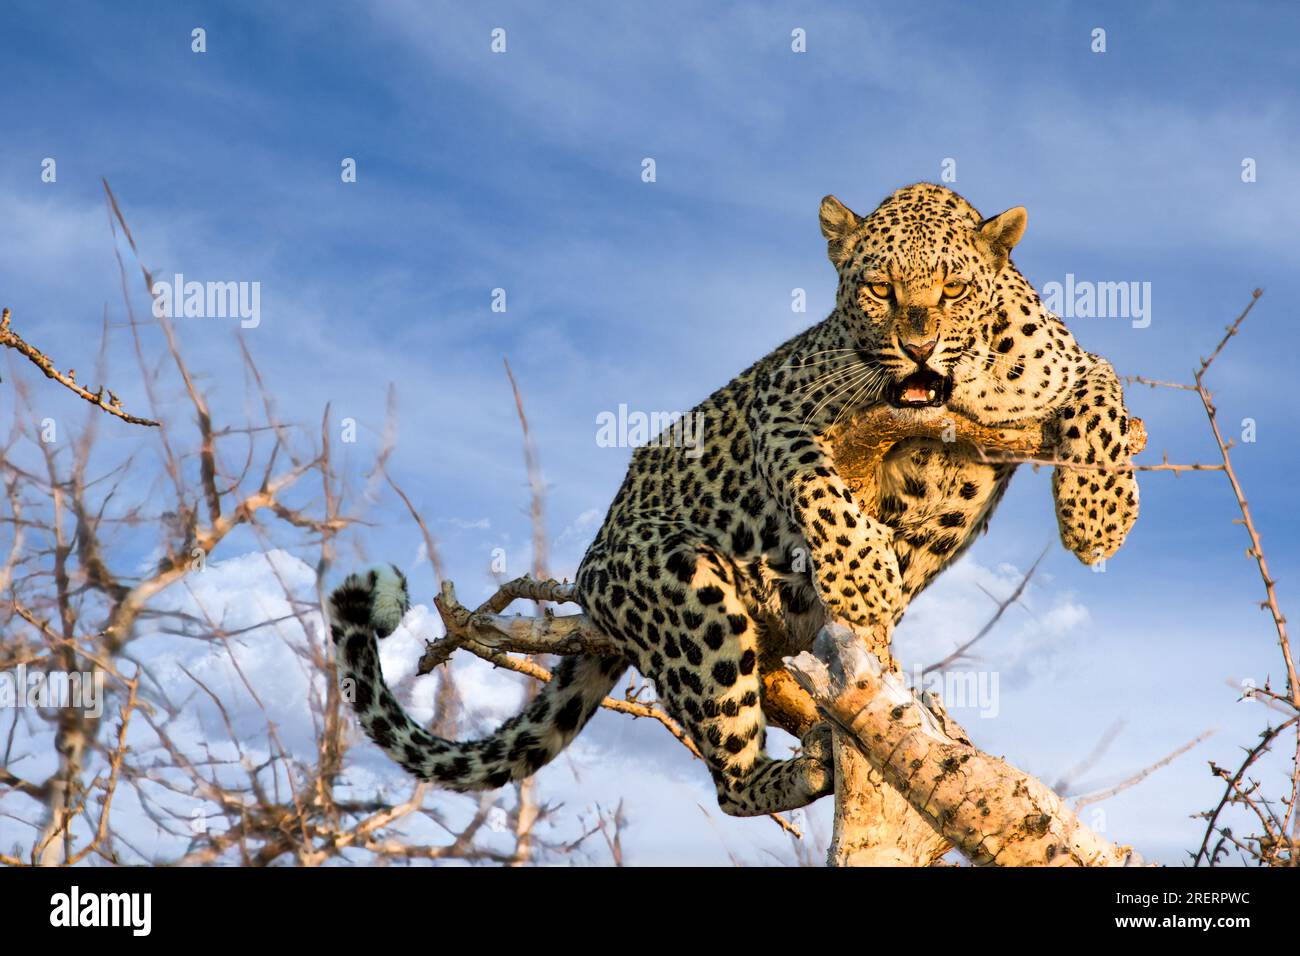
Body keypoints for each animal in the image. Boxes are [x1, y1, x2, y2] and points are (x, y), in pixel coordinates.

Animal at [328, 182, 1139, 817]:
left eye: (953, 289)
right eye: (880, 290)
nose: (917, 345)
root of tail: (592, 573)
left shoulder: (1071, 365)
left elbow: (1106, 399)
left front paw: (1099, 517)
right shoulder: (777, 404)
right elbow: (812, 479)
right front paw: (862, 576)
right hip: (690, 593)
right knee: (727, 772)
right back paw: (799, 767)